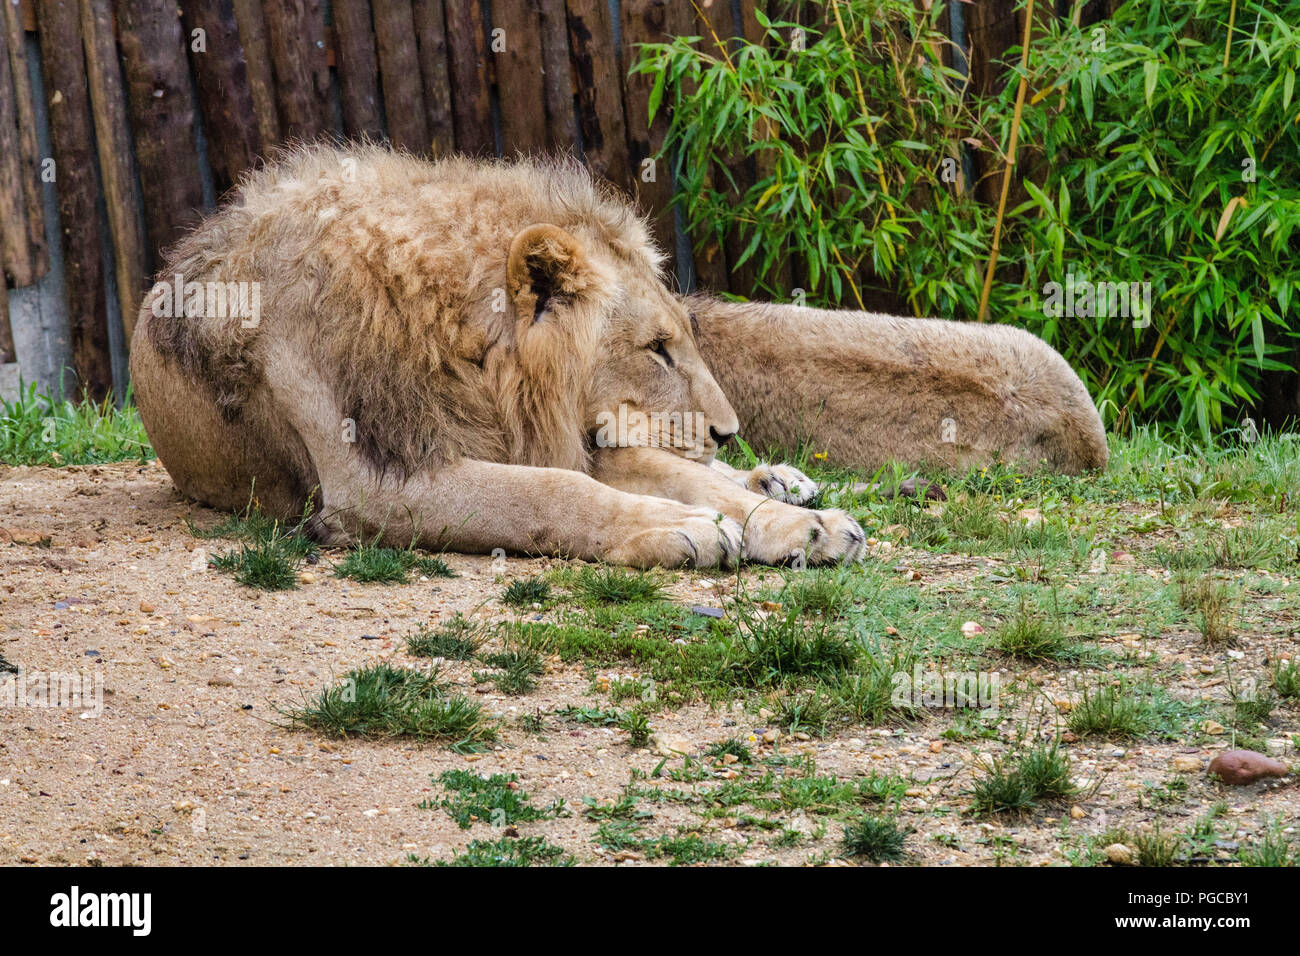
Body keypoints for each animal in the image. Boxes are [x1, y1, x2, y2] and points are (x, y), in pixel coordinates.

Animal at [129, 144, 865, 569]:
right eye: (656, 350)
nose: (728, 431)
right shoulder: (375, 484)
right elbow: (554, 492)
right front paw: (686, 528)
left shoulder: (561, 435)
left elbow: (687, 481)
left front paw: (808, 528)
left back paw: (780, 484)